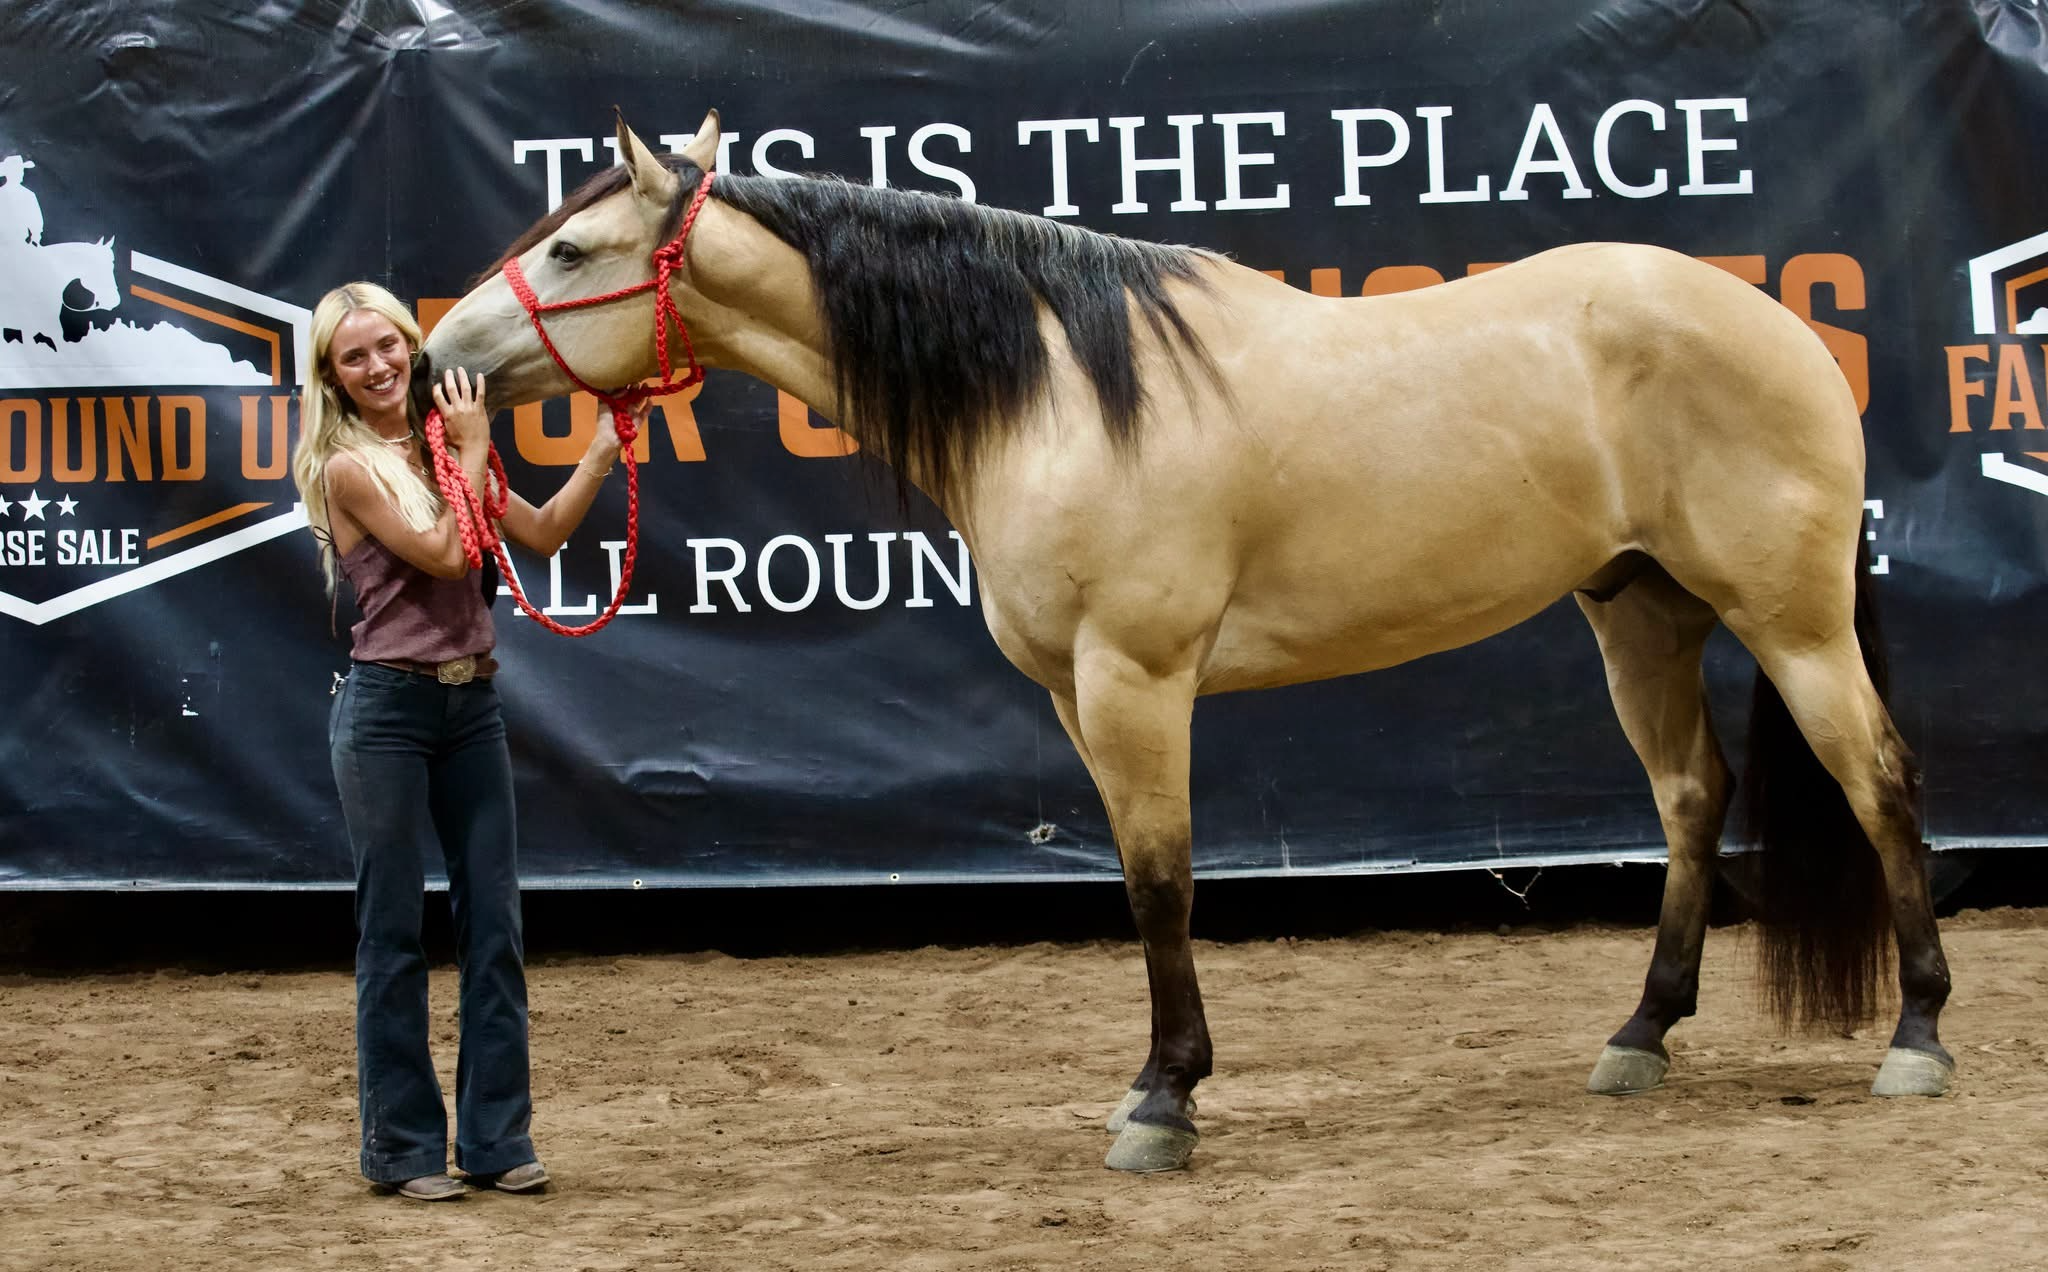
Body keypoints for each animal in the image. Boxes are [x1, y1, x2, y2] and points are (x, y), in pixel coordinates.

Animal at [419, 112, 1954, 1172]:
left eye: (569, 249)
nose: (439, 361)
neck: (1059, 391)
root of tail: (1779, 325)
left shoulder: (1137, 679)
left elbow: (1161, 886)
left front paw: (1163, 1100)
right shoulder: (1073, 698)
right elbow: (1132, 881)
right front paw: (1159, 1082)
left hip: (1791, 620)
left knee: (1879, 783)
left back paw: (1917, 1038)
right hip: (1638, 610)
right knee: (1691, 797)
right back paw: (1640, 1035)